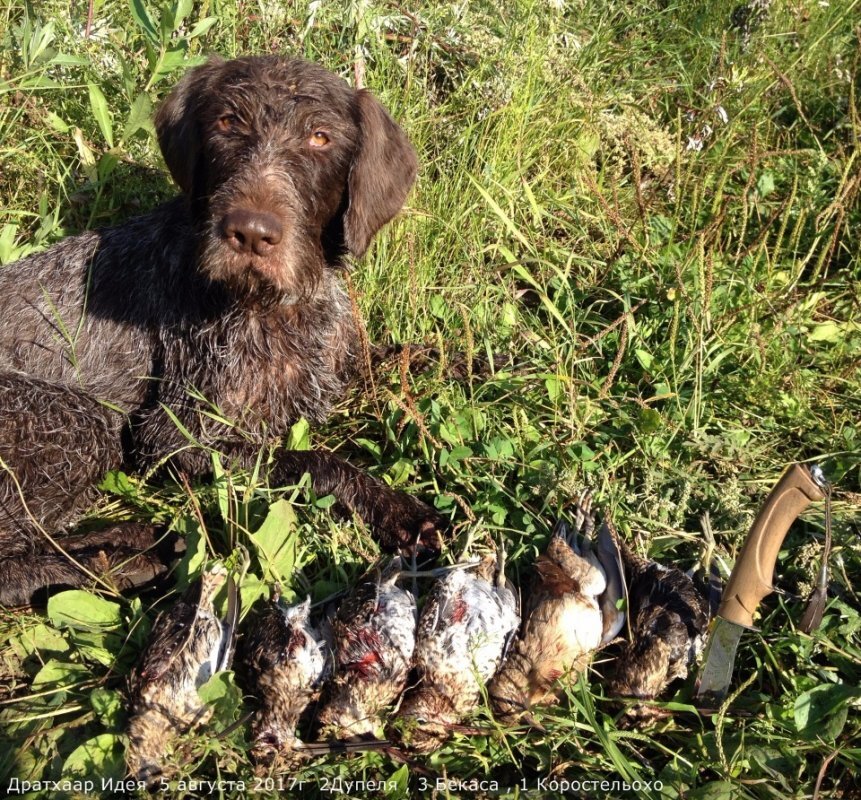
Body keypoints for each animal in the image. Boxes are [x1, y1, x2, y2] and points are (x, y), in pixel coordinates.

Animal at [0, 57, 440, 608]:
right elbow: (314, 460)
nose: (251, 232)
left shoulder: (331, 362)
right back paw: (114, 567)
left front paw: (473, 366)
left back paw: (126, 541)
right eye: (228, 123)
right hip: (77, 421)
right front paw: (395, 507)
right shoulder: (173, 439)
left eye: (319, 137)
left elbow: (392, 356)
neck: (274, 303)